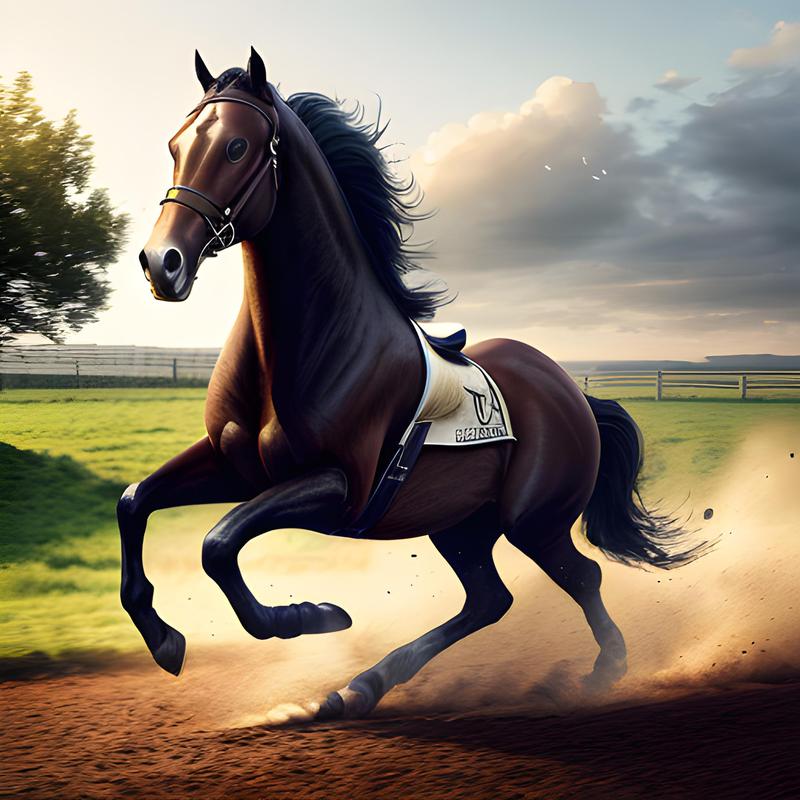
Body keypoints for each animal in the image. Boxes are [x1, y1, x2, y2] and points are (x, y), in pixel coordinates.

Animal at [123, 47, 707, 719]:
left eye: (238, 147)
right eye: (176, 145)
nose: (161, 263)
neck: (308, 347)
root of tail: (573, 392)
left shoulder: (339, 485)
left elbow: (218, 544)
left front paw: (316, 615)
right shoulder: (236, 465)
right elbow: (136, 501)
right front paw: (164, 641)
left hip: (532, 520)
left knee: (580, 578)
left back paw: (604, 671)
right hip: (462, 524)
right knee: (489, 599)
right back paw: (359, 688)